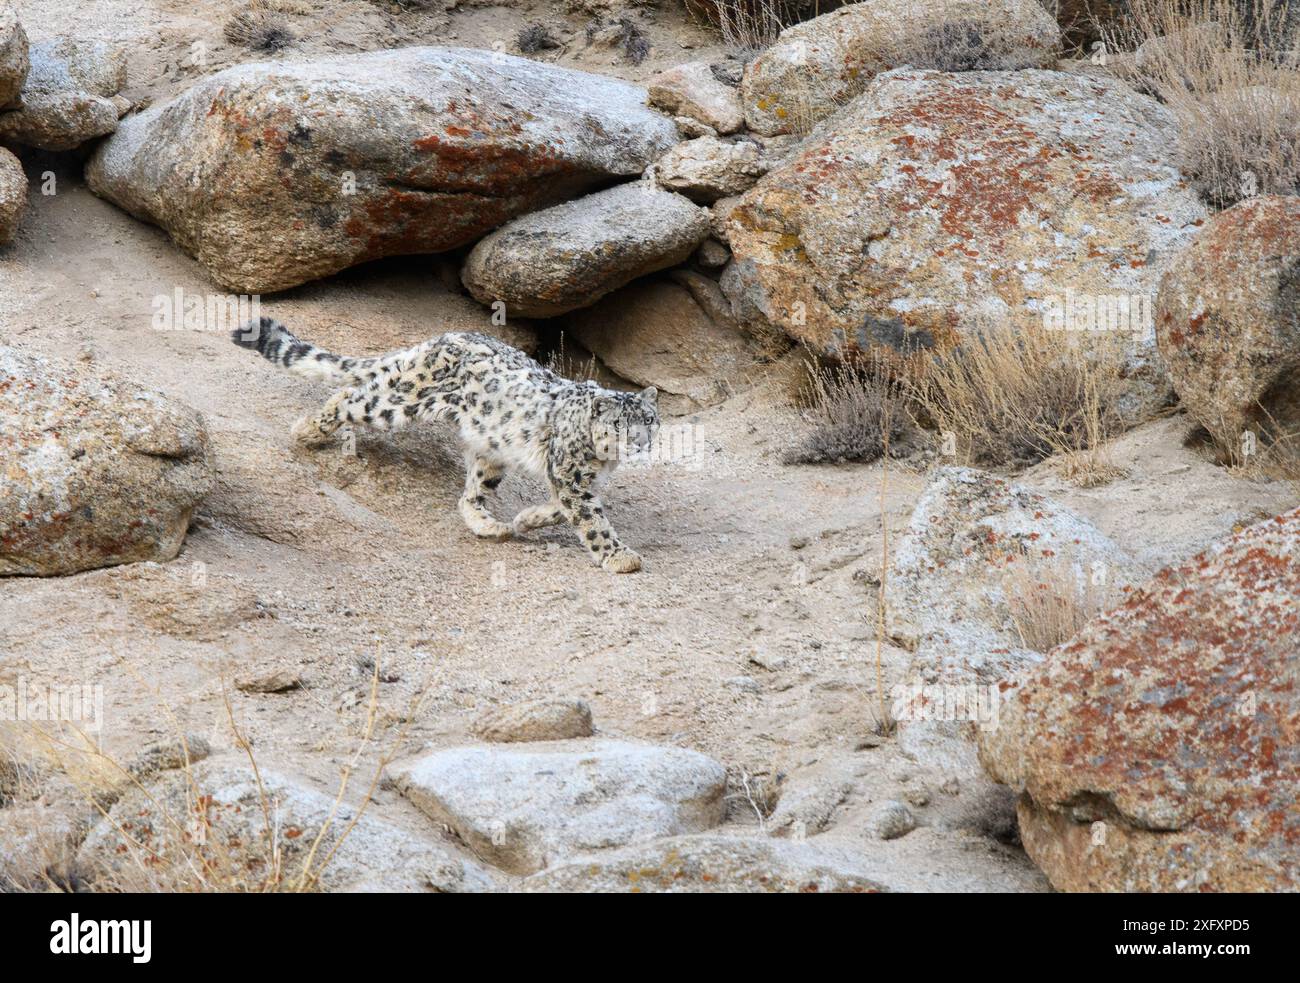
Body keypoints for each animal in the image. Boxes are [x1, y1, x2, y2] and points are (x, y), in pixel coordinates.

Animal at [232, 317, 658, 573]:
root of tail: (443, 337)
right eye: (620, 424)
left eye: (649, 421)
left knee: (470, 493)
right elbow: (590, 516)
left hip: (491, 449)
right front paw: (620, 557)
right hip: (399, 402)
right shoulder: (571, 474)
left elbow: (564, 508)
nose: (640, 442)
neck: (603, 462)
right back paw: (307, 430)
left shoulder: (578, 479)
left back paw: (491, 526)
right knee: (351, 396)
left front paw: (526, 519)